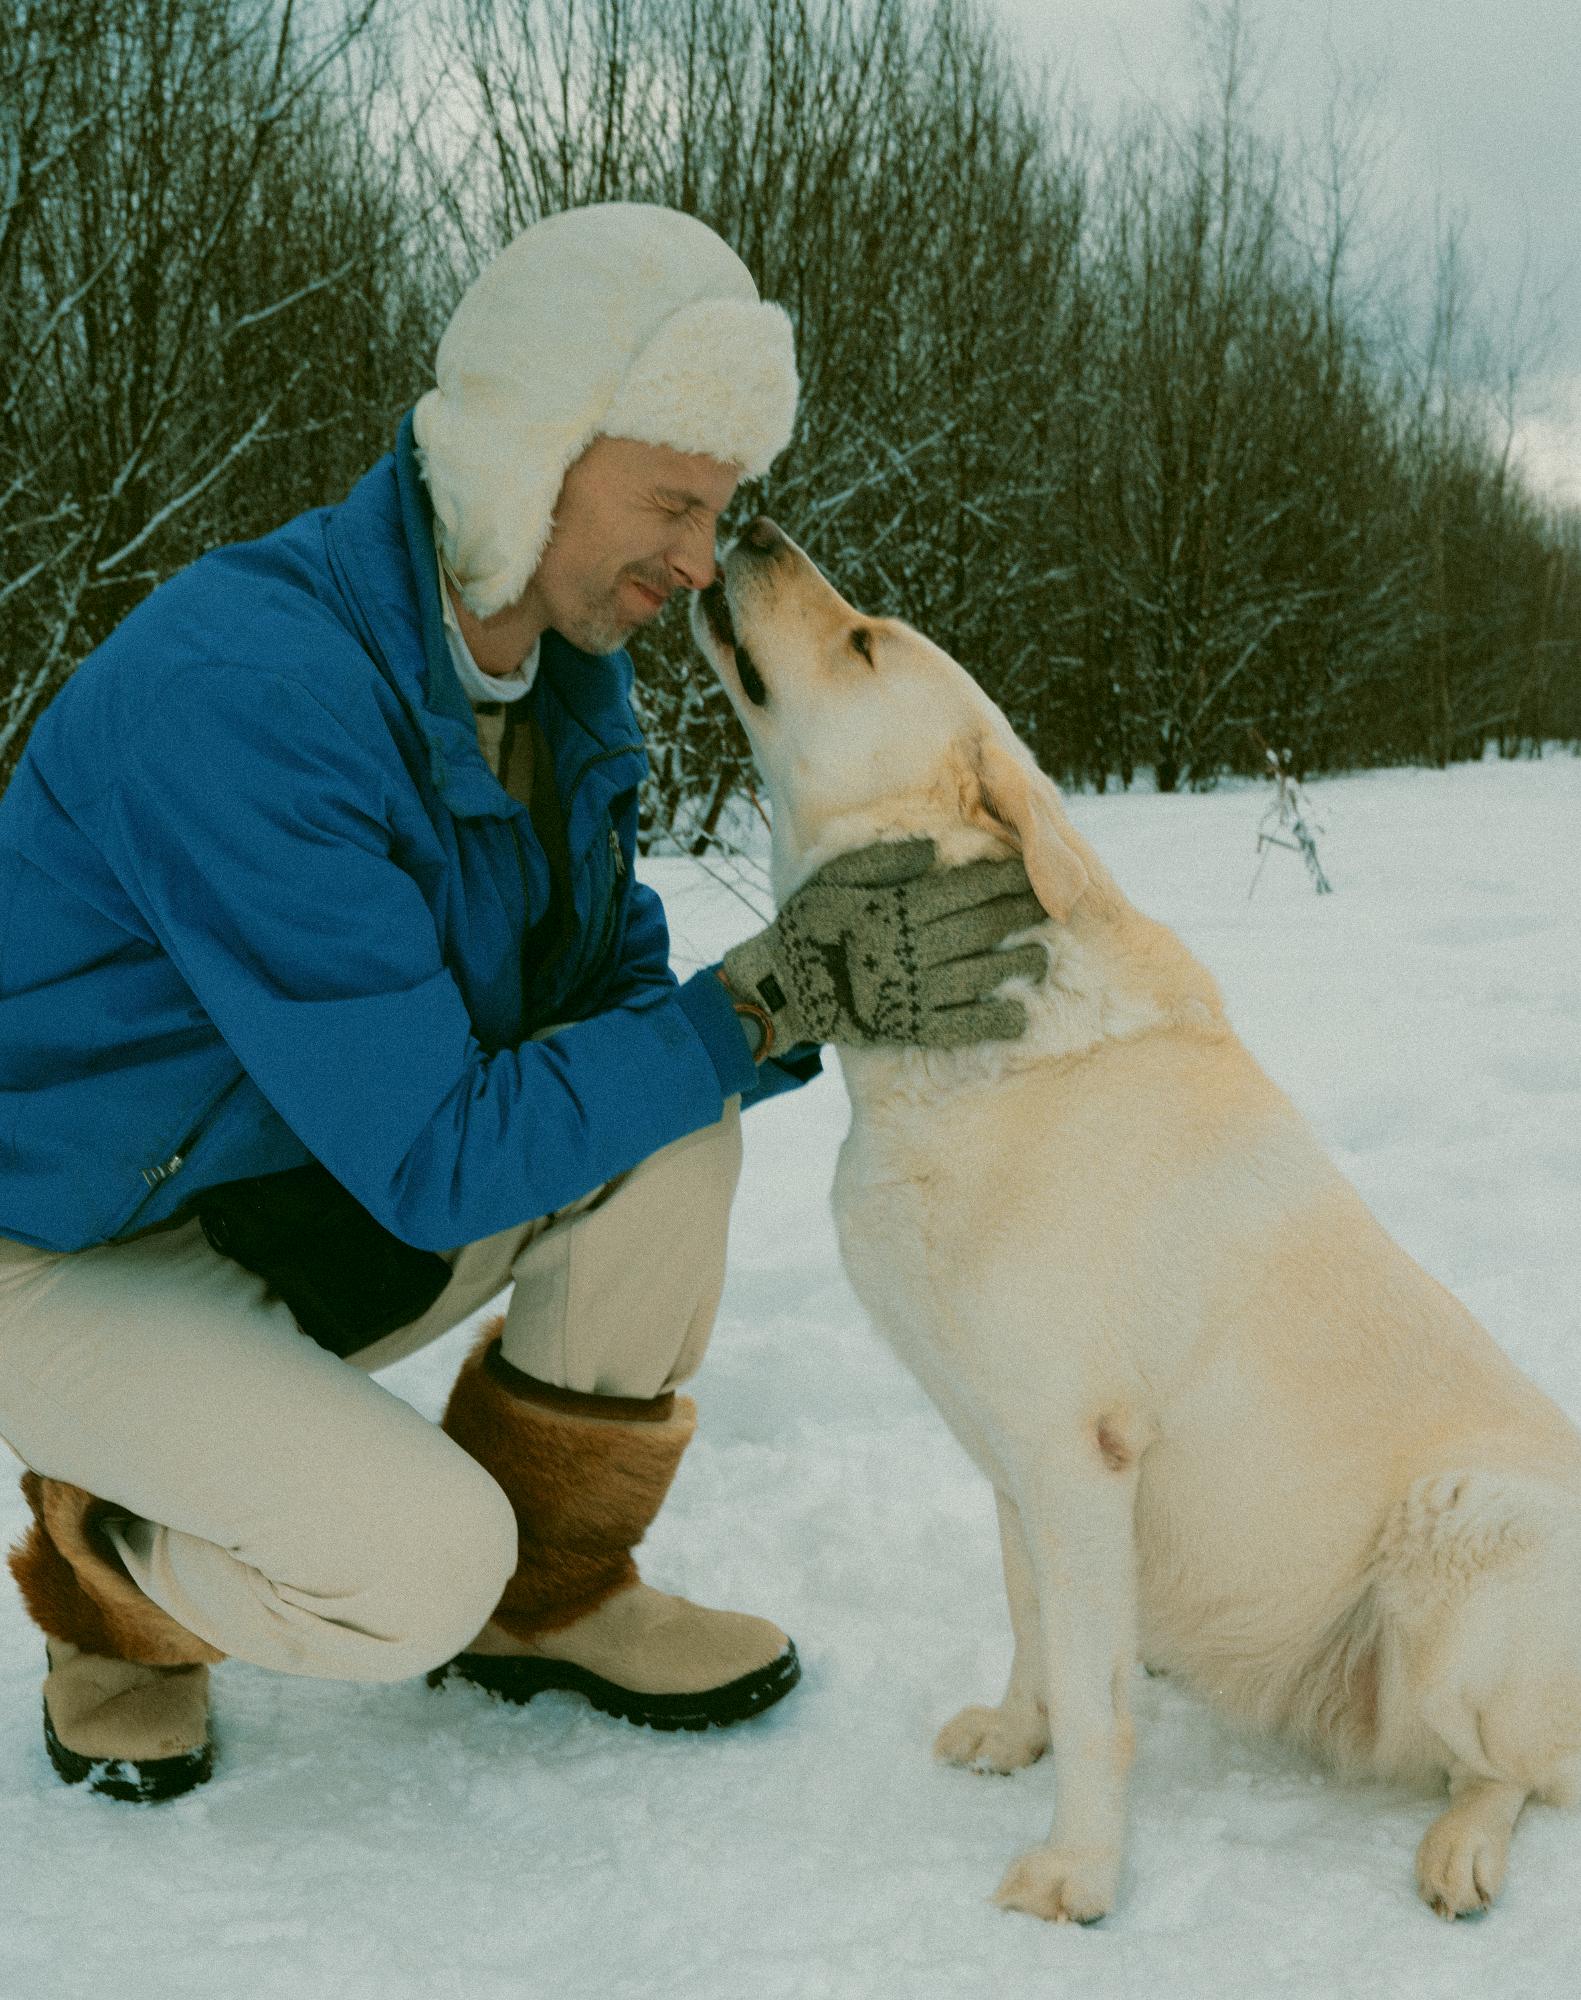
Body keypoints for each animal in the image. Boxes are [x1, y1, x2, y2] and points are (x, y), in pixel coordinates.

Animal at [688, 516, 1581, 1920]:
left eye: (865, 641)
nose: (751, 521)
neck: (968, 1057)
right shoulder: (1011, 1455)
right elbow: (1034, 1631)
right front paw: (1014, 1736)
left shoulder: (1077, 1451)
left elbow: (1093, 1696)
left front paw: (1078, 1867)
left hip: (1459, 1539)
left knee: (1523, 1770)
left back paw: (1460, 1850)